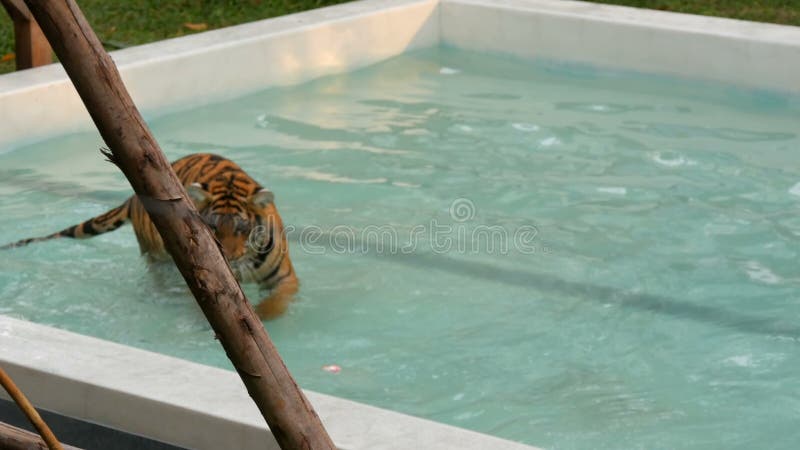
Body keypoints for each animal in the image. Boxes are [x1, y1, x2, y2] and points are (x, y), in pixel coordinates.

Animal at [1, 153, 298, 320]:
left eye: (242, 229)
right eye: (213, 228)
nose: (229, 257)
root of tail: (133, 197)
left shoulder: (284, 278)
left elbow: (276, 303)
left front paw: (264, 316)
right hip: (157, 254)